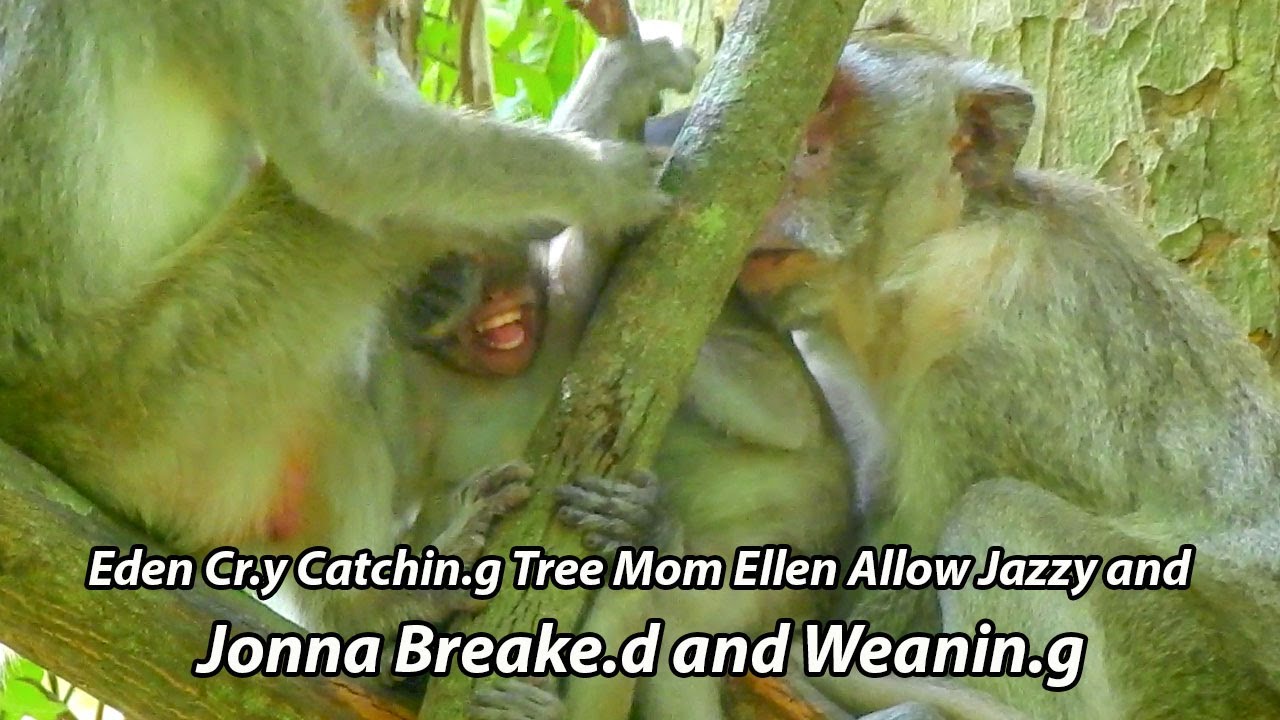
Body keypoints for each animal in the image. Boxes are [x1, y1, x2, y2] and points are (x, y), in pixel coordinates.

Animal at [0, 0, 669, 648]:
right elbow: (351, 151)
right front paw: (607, 172)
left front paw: (622, 85)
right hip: (150, 395)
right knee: (341, 216)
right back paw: (366, 607)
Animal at [733, 21, 1280, 719]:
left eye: (824, 107)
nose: (770, 176)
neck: (918, 268)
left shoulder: (995, 375)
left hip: (1187, 682)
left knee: (999, 514)